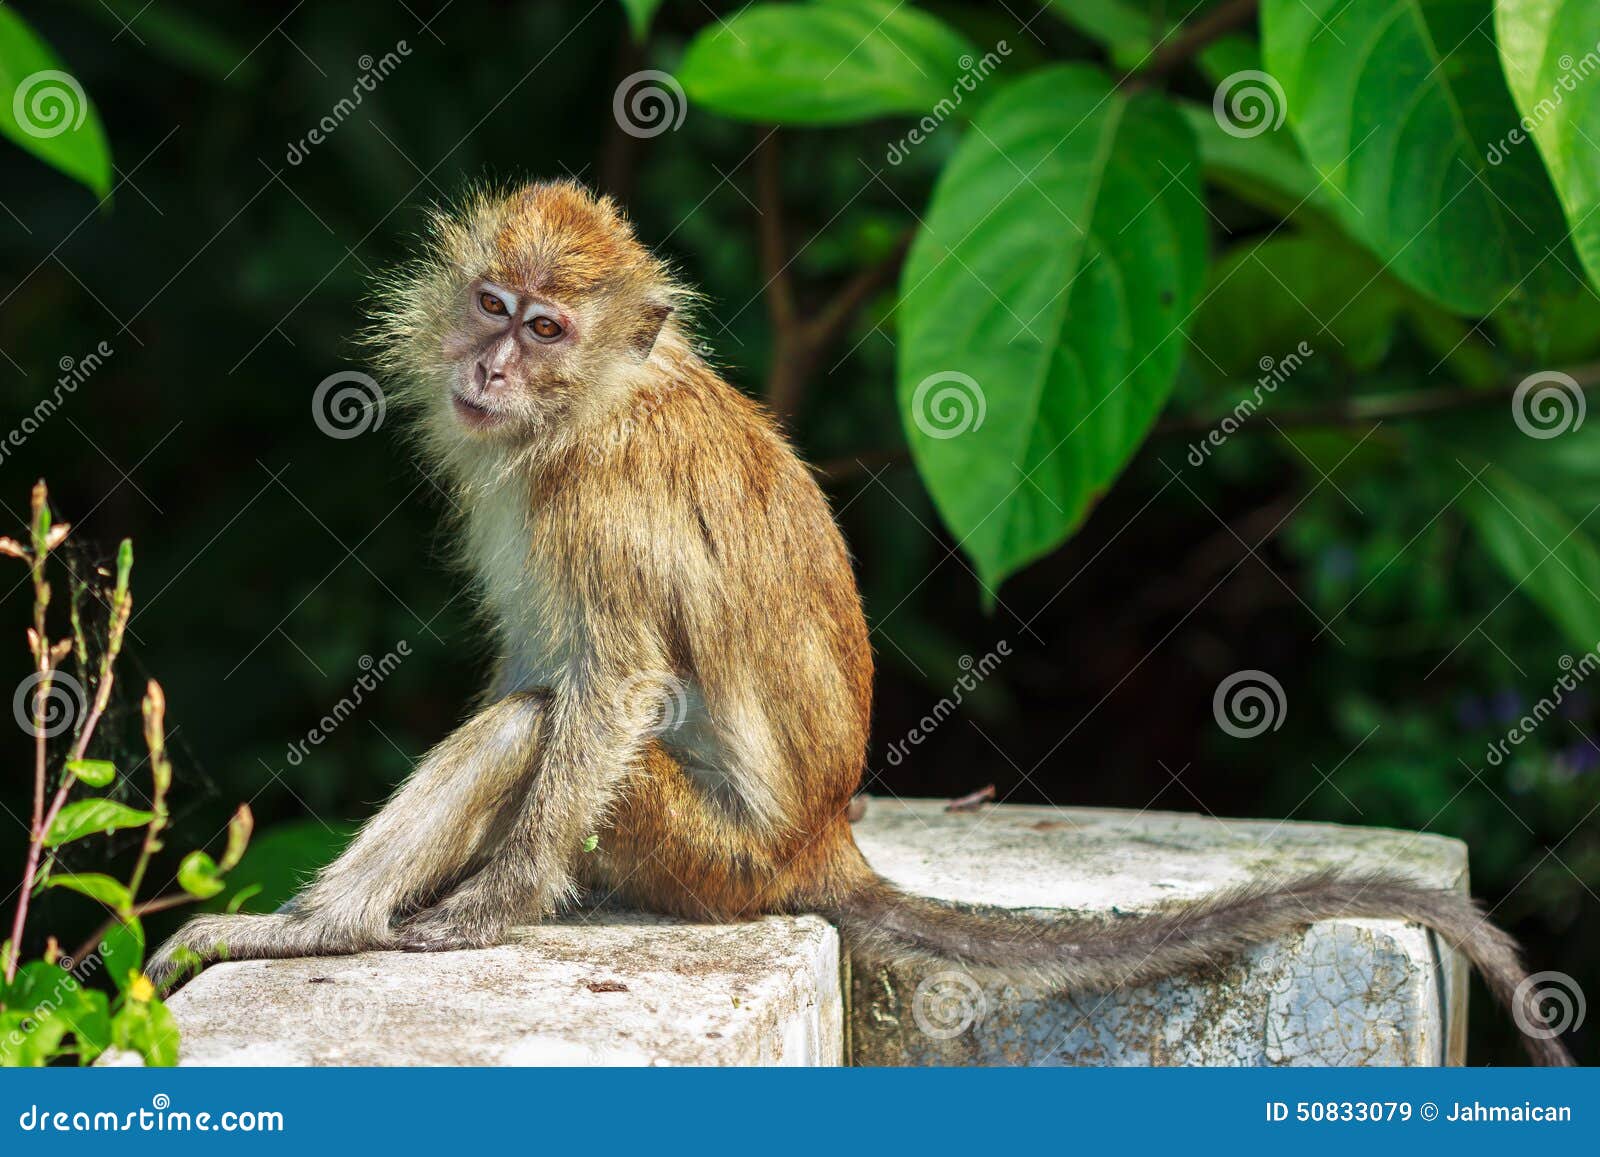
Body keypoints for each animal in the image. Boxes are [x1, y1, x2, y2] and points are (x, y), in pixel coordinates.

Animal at [150, 180, 1573, 1066]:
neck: (592, 405)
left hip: (708, 852)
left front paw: (490, 905)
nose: (491, 365)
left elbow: (605, 689)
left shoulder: (595, 502)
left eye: (547, 327)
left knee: (537, 725)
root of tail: (823, 841)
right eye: (493, 304)